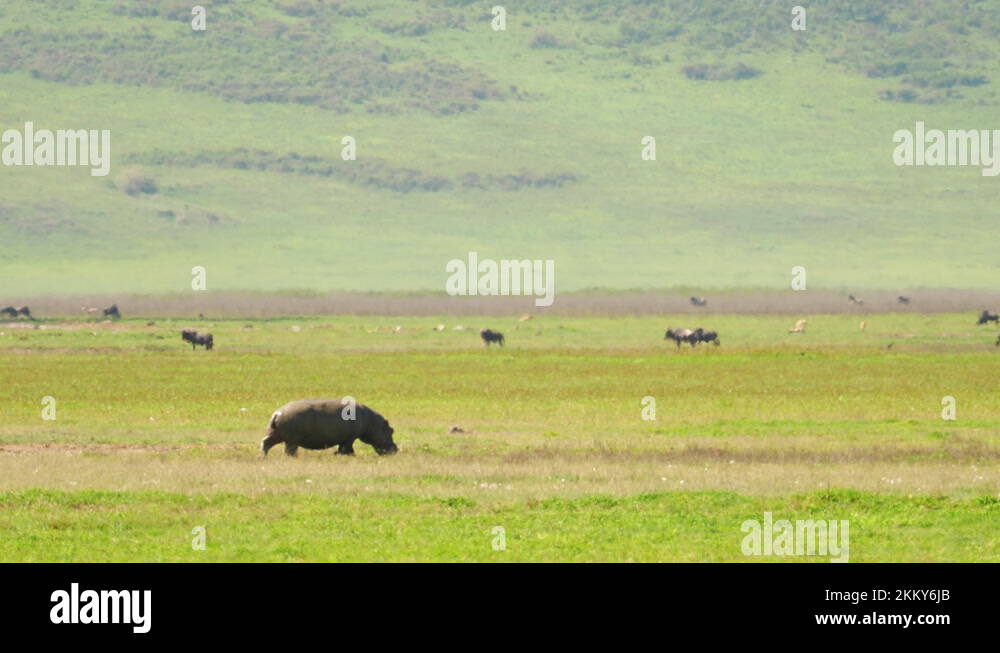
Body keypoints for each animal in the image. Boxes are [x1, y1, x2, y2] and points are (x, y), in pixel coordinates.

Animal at [261, 398, 398, 457]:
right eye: (391, 431)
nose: (396, 449)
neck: (372, 422)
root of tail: (277, 413)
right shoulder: (350, 437)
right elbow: (346, 448)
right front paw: (345, 455)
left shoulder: (347, 438)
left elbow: (345, 448)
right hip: (292, 440)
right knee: (289, 451)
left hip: (276, 435)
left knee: (265, 443)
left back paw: (262, 457)